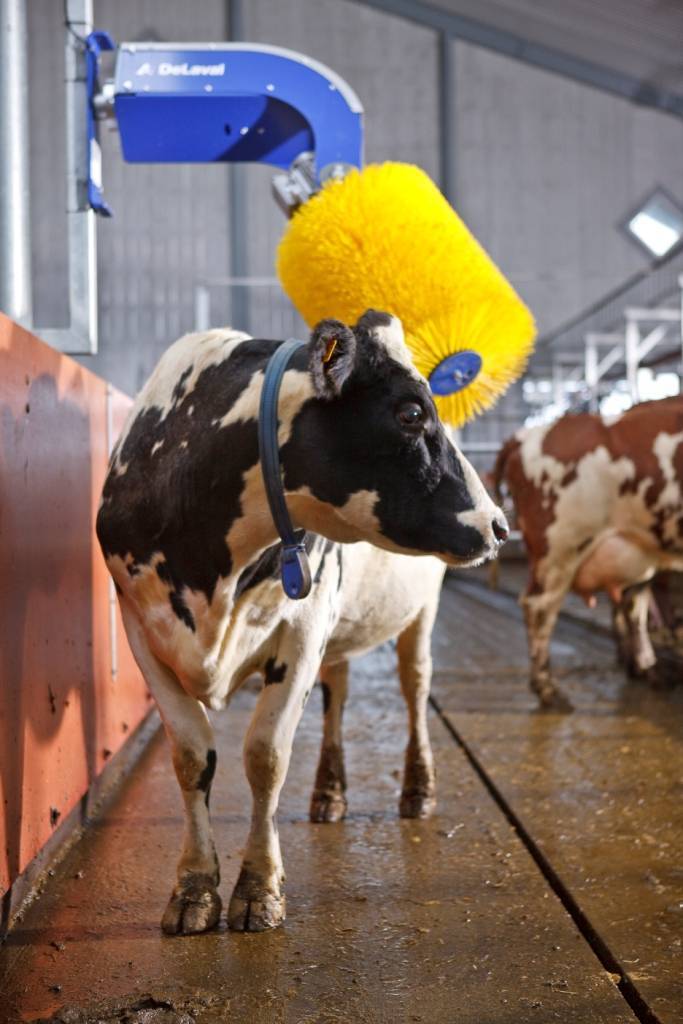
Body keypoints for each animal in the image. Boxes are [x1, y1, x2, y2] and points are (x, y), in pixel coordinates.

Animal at [96, 310, 508, 934]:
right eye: (411, 413)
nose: (499, 524)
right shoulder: (142, 628)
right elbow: (192, 757)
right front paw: (194, 888)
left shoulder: (303, 629)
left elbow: (266, 755)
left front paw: (258, 889)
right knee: (337, 694)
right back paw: (329, 793)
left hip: (421, 609)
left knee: (415, 688)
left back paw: (417, 789)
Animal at [493, 396, 683, 711]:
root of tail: (526, 436)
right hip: (559, 548)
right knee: (539, 607)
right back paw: (548, 690)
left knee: (634, 607)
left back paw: (649, 670)